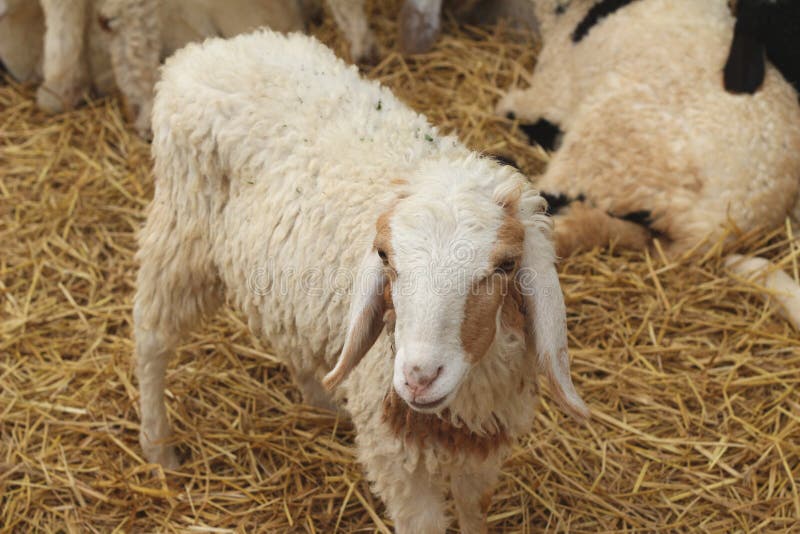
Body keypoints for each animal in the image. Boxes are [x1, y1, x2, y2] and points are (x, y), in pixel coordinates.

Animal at [135, 30, 589, 532]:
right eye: (386, 258)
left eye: (505, 266)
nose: (418, 377)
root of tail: (202, 52)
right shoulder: (396, 460)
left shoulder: (483, 441)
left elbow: (473, 511)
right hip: (182, 234)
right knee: (151, 336)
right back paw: (159, 448)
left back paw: (323, 399)